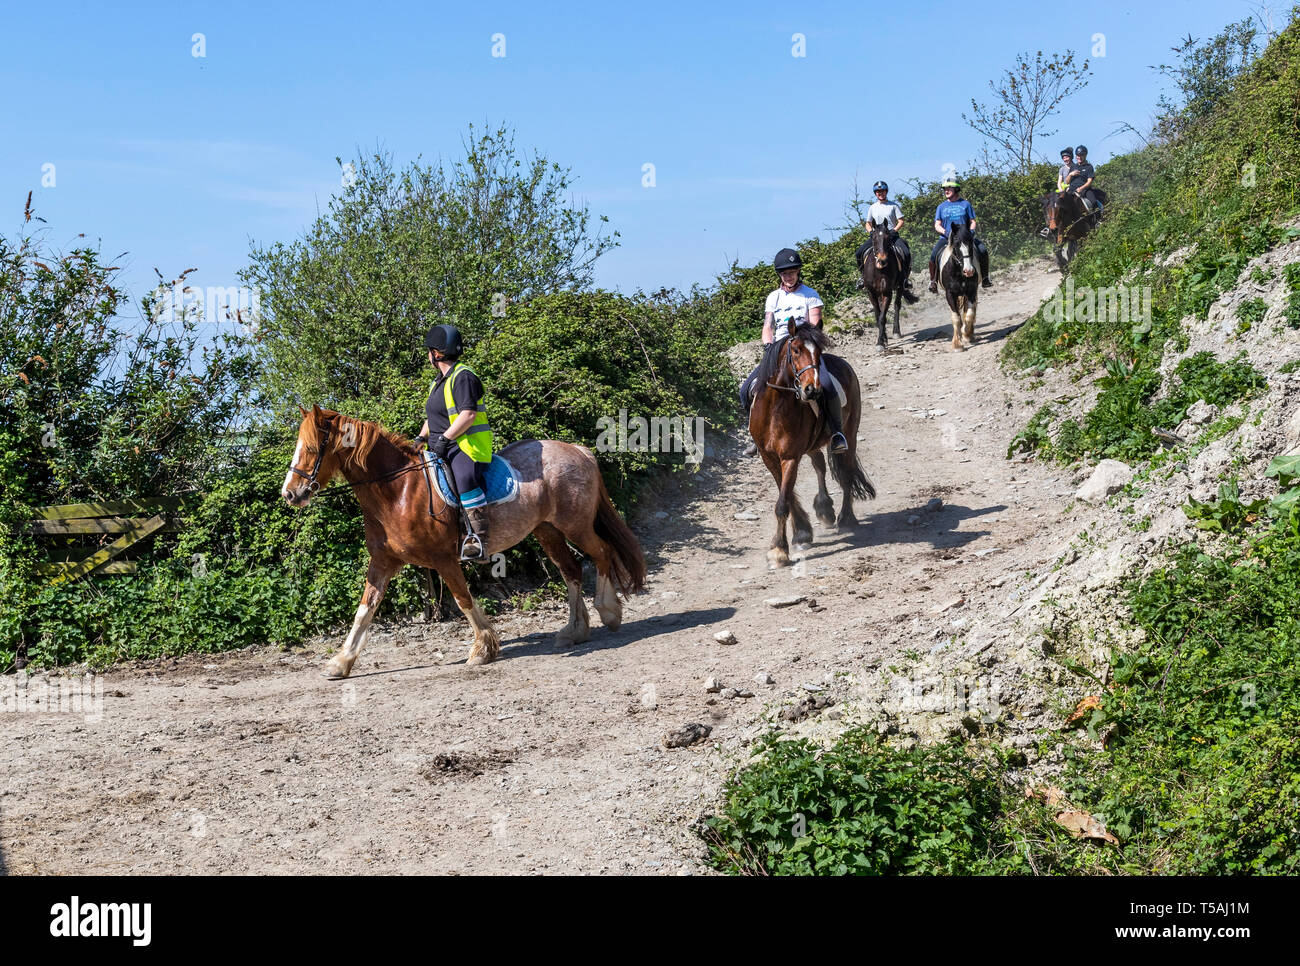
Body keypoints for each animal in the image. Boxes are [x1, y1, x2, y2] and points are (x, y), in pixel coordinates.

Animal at [281, 405, 646, 676]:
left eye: (311, 448)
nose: (290, 494)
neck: (396, 491)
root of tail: (578, 450)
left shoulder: (443, 559)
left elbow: (463, 600)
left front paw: (483, 648)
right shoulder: (383, 561)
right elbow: (365, 609)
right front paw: (341, 662)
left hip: (575, 525)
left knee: (602, 553)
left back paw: (608, 611)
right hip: (547, 530)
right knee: (571, 570)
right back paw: (574, 630)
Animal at [747, 324, 875, 568]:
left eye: (818, 351)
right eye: (796, 350)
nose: (812, 391)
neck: (775, 408)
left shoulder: (790, 457)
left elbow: (783, 502)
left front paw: (779, 550)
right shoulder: (769, 457)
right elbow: (787, 494)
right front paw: (801, 533)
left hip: (850, 434)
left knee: (846, 473)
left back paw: (846, 518)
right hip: (813, 445)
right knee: (820, 466)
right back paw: (825, 508)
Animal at [857, 220, 919, 349]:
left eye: (888, 238)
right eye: (874, 238)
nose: (882, 260)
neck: (879, 270)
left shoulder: (887, 292)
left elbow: (882, 317)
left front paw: (880, 343)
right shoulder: (871, 293)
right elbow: (878, 315)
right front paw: (883, 339)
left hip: (900, 287)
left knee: (897, 306)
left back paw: (896, 332)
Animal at [938, 219, 980, 351]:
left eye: (970, 242)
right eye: (956, 244)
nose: (969, 271)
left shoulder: (971, 291)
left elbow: (969, 315)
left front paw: (966, 333)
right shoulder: (950, 294)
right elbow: (956, 318)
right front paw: (957, 344)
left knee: (971, 310)